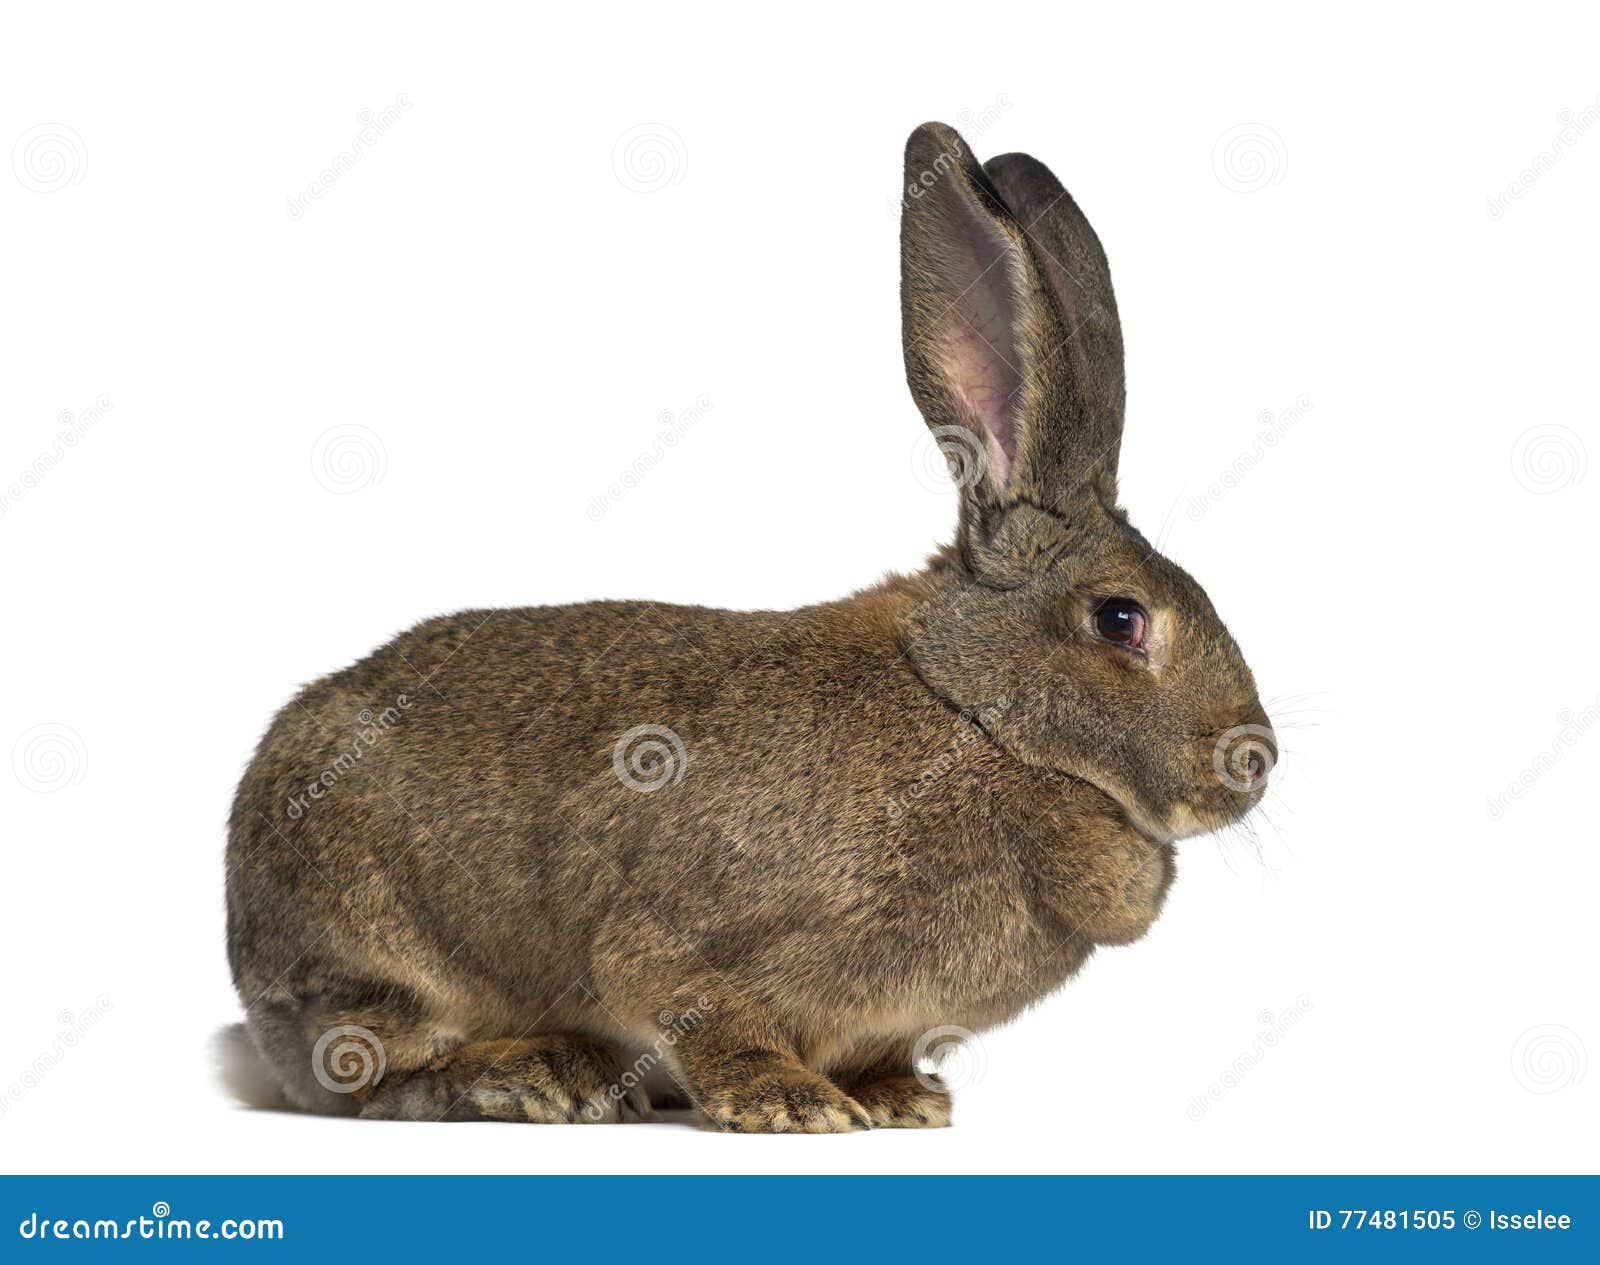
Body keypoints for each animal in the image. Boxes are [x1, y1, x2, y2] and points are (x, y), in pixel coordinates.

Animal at [224, 120, 1275, 1132]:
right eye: (1121, 619)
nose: (1254, 759)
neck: (973, 716)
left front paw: (901, 1102)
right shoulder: (684, 943)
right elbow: (706, 1013)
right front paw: (792, 1105)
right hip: (378, 956)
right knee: (372, 1076)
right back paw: (542, 1078)